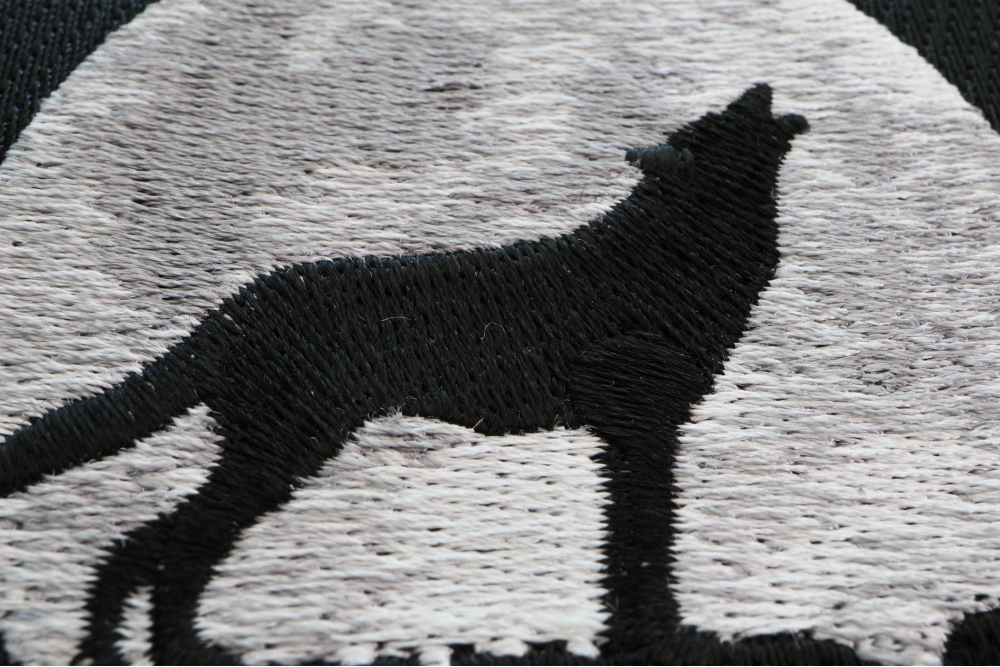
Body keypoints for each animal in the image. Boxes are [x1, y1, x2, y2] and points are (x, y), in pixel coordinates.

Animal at [0, 85, 863, 665]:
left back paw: (125, 648)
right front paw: (660, 638)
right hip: (283, 443)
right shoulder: (640, 417)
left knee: (146, 541)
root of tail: (228, 313)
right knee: (172, 542)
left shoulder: (636, 428)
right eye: (730, 118)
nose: (762, 84)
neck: (683, 247)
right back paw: (184, 650)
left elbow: (635, 536)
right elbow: (644, 536)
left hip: (271, 446)